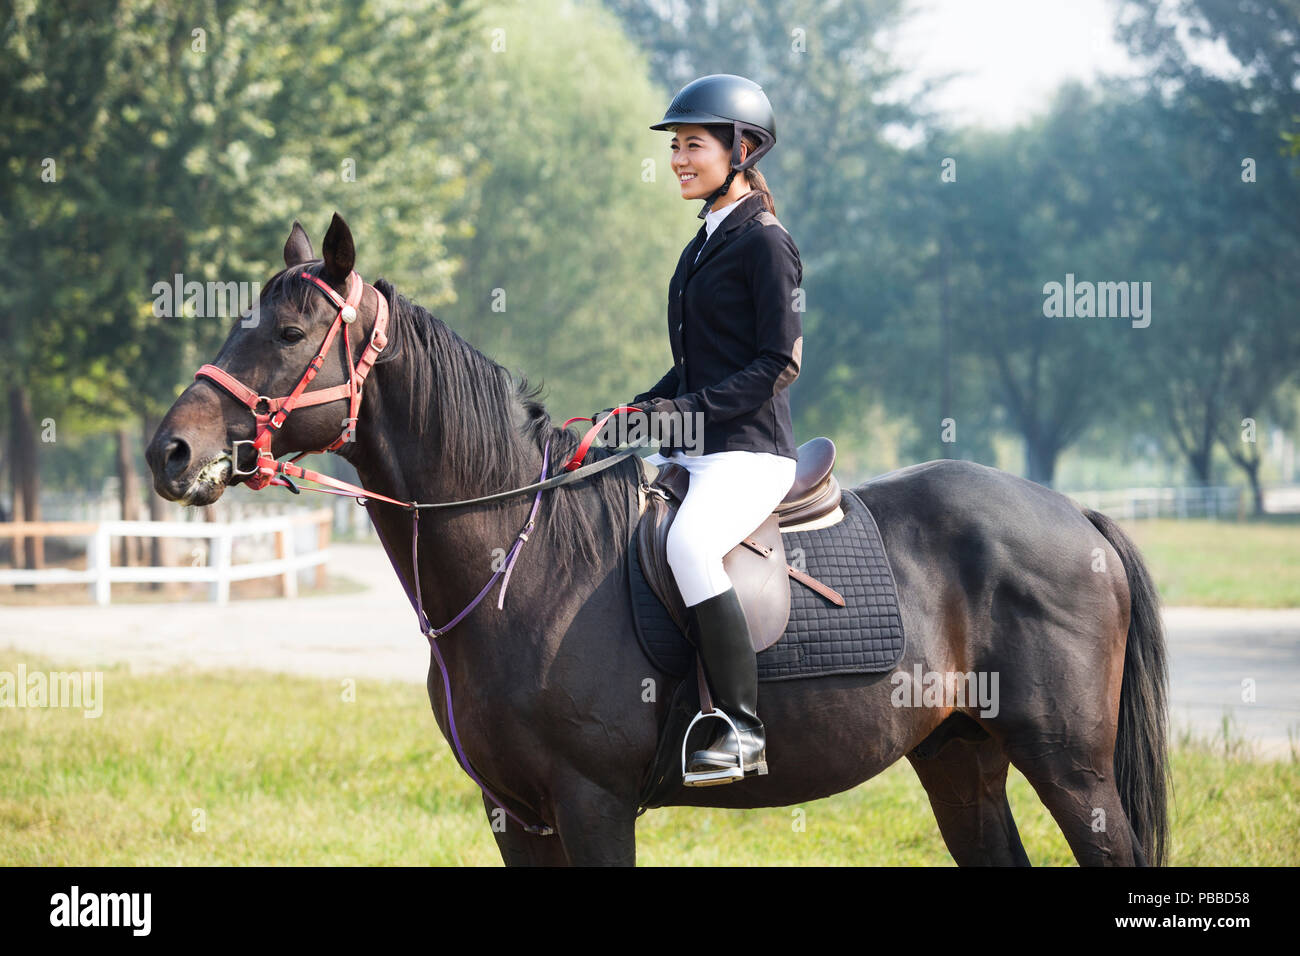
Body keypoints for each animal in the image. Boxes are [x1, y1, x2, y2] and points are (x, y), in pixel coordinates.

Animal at [146, 214, 1170, 866]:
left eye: (288, 332)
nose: (171, 451)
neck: (522, 563)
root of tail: (1078, 516)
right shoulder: (516, 817)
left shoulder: (592, 805)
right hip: (961, 757)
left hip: (1073, 771)